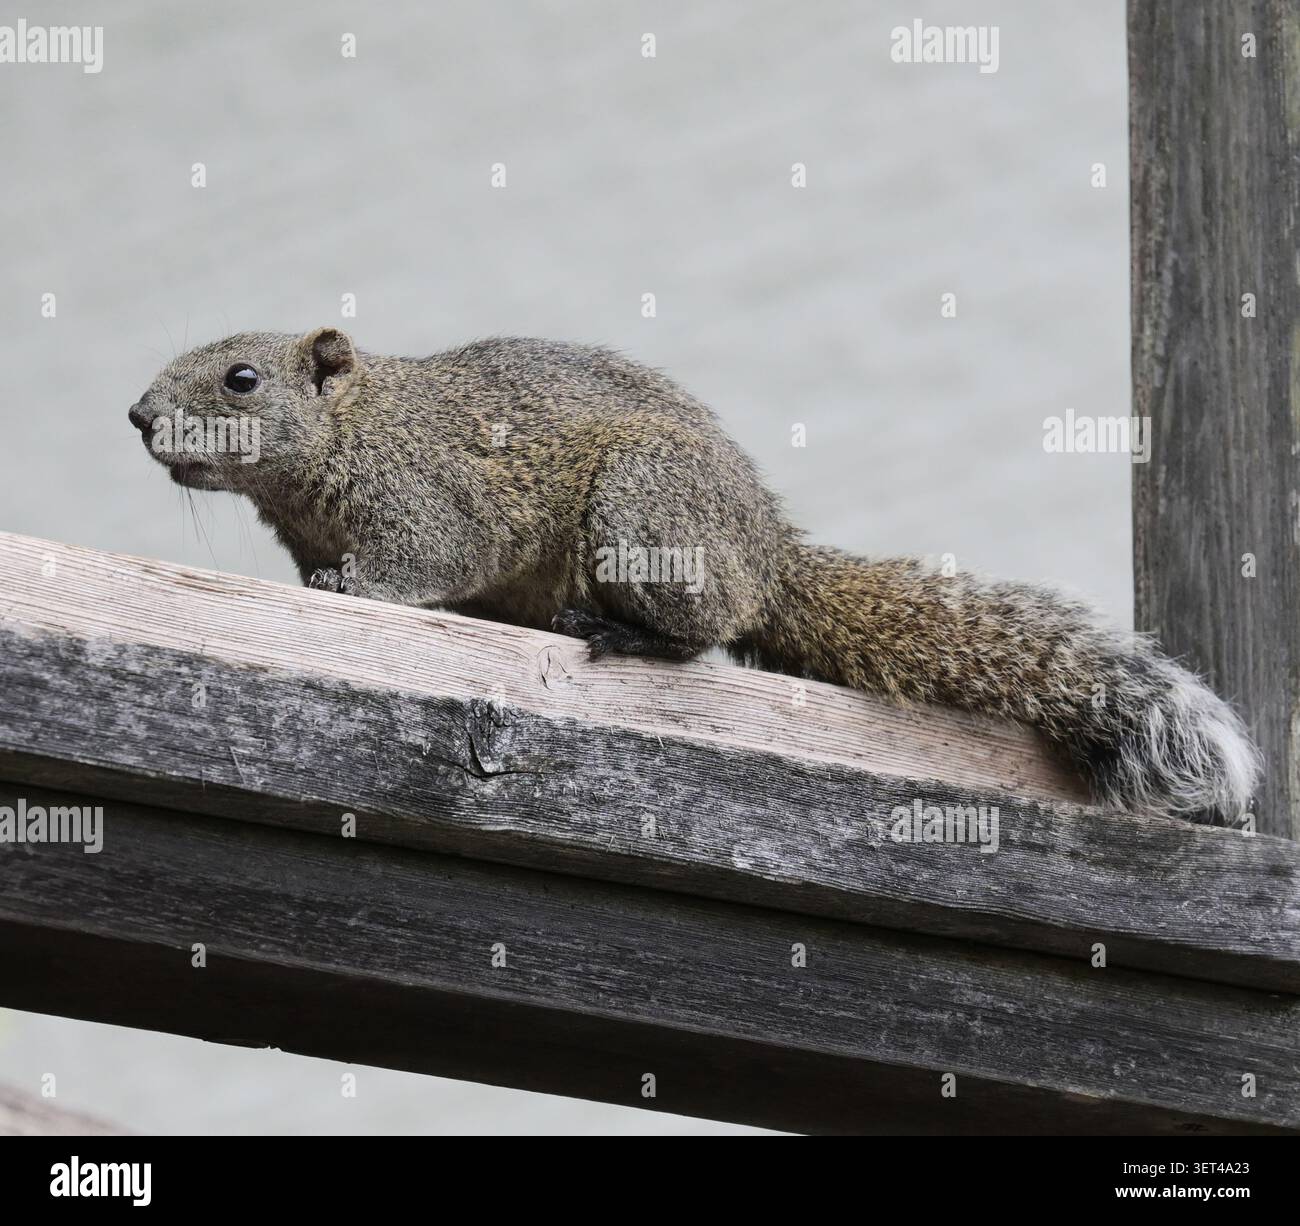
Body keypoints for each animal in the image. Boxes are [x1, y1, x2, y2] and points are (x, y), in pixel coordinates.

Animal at [128, 327, 1261, 824]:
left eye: (241, 378)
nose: (137, 414)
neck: (348, 436)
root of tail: (765, 551)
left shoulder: (435, 501)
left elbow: (425, 563)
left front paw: (353, 592)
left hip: (645, 512)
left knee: (701, 628)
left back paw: (623, 630)